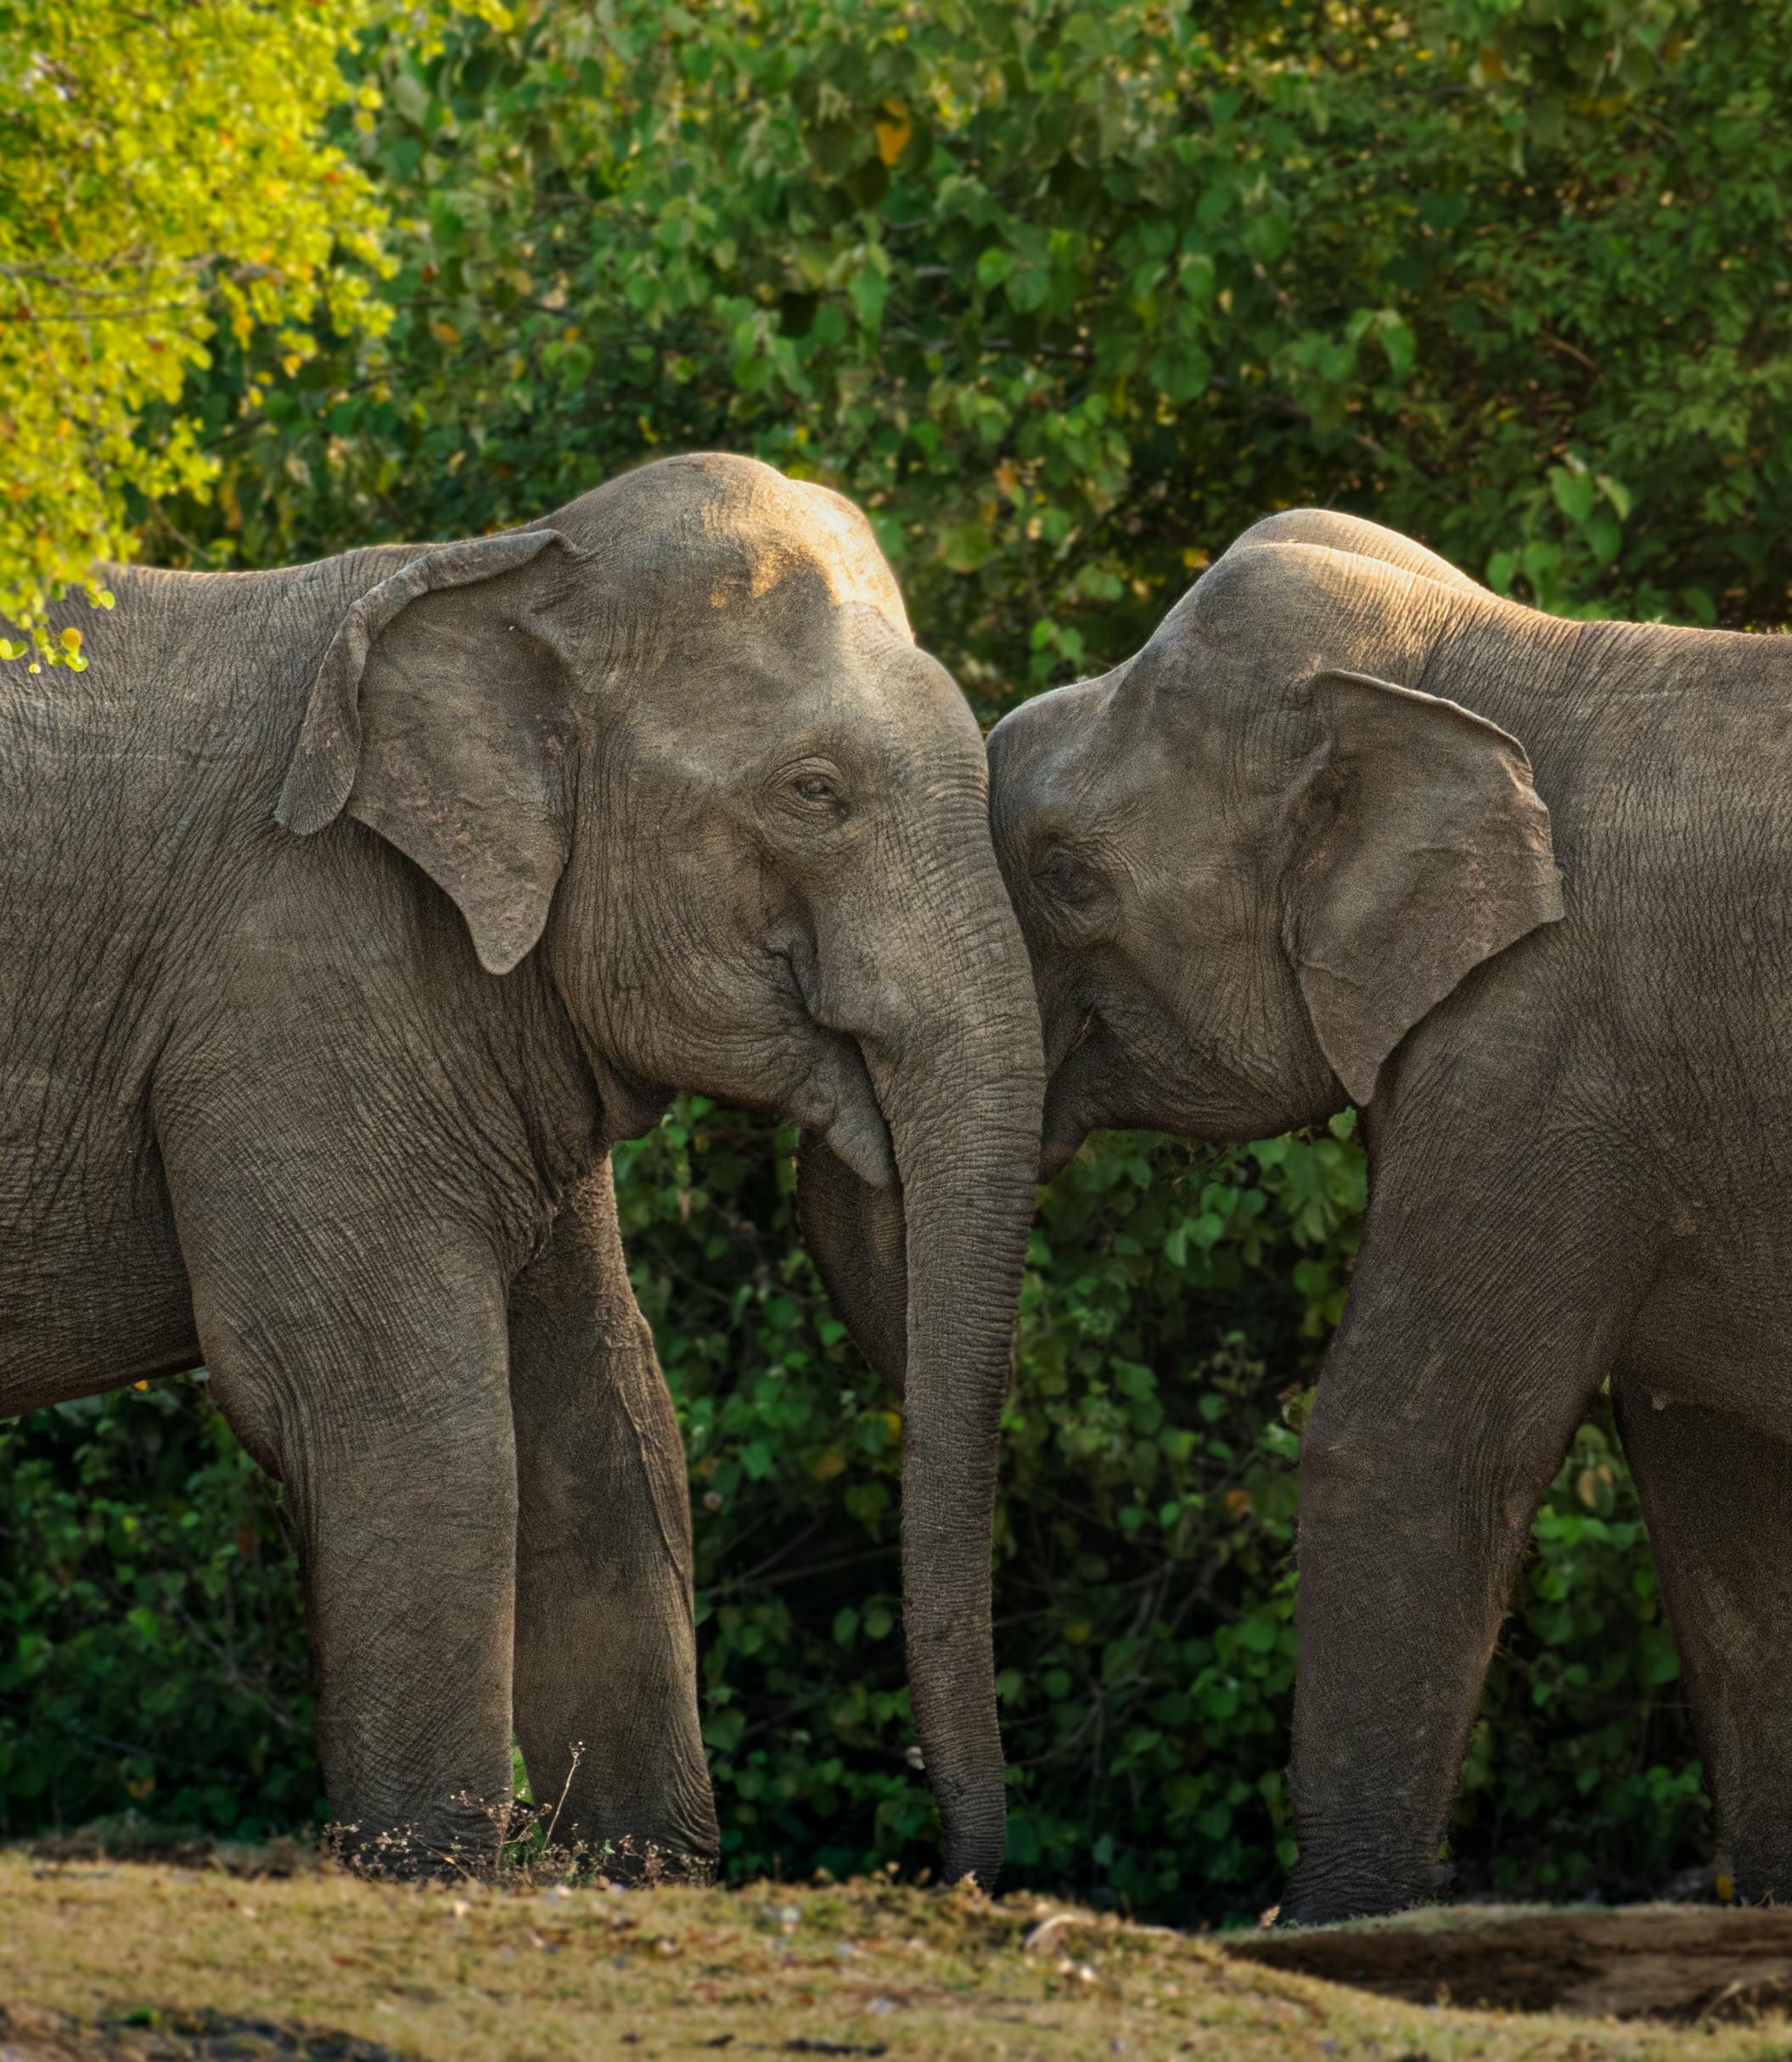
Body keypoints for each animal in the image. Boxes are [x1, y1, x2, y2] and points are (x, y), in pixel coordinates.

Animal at [0, 453, 1043, 1886]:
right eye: (814, 793)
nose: (958, 1872)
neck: (505, 563)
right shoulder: (293, 982)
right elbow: (398, 1416)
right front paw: (431, 1869)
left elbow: (607, 1428)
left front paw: (644, 1875)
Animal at [951, 505, 1792, 1922]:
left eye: (1063, 875)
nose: (970, 1877)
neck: (1469, 660)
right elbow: (1722, 1503)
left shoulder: (1538, 1049)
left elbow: (1399, 1440)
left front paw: (1332, 1920)